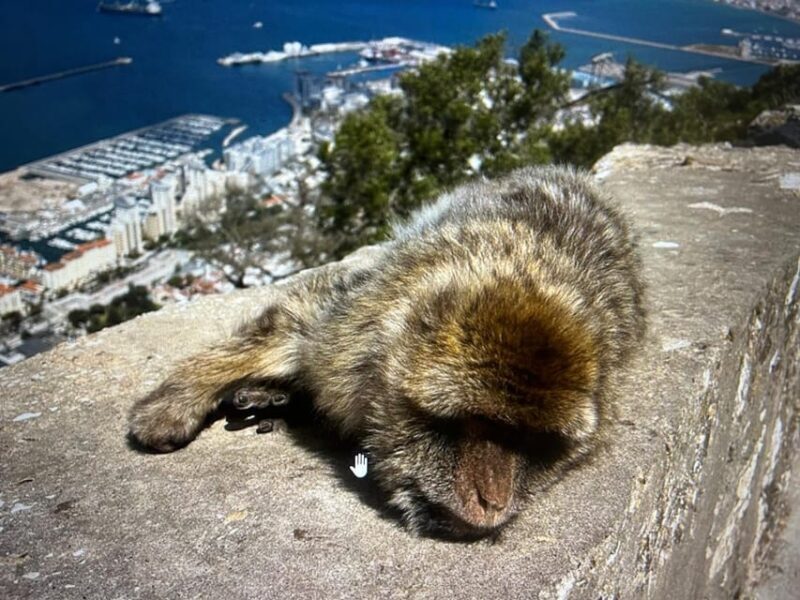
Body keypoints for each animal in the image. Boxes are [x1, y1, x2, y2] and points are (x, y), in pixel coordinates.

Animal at [129, 166, 646, 539]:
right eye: (479, 424)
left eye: (532, 441)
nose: (493, 501)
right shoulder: (349, 332)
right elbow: (297, 322)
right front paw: (181, 395)